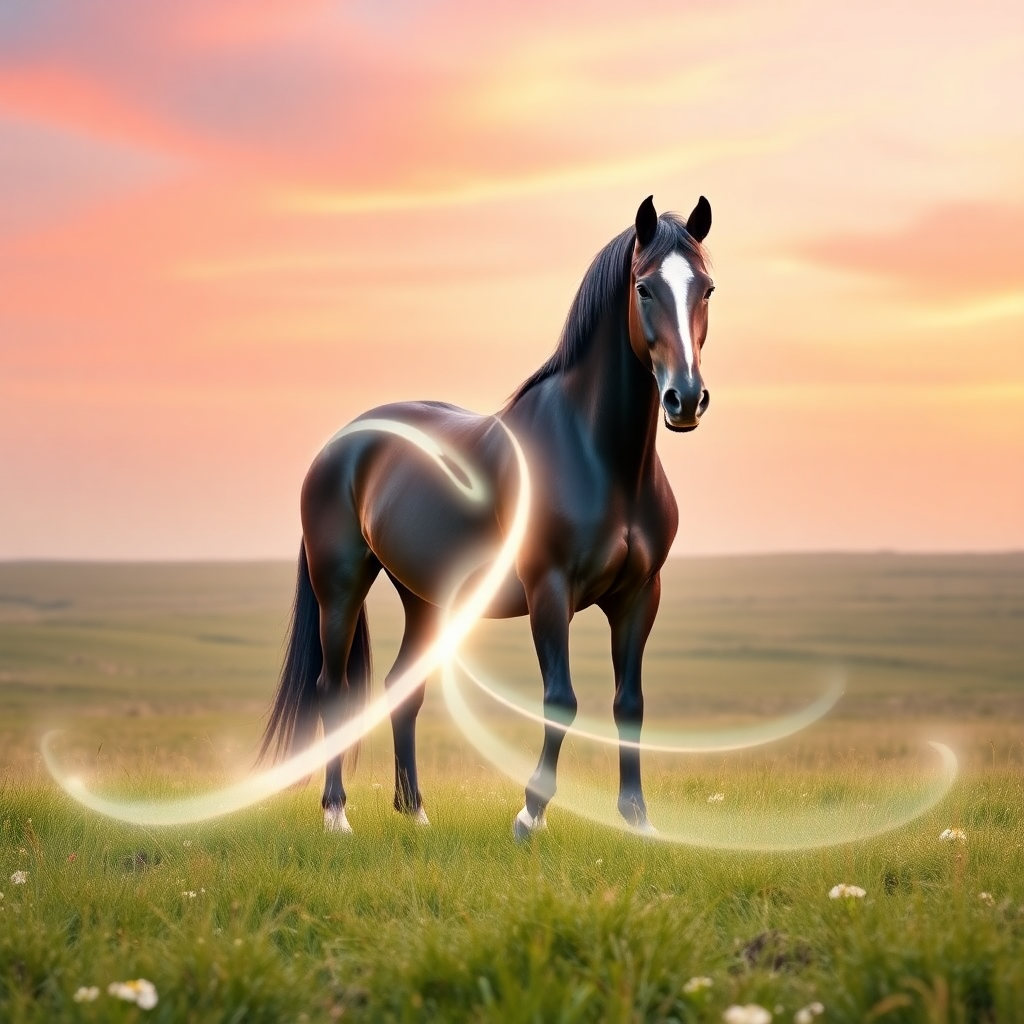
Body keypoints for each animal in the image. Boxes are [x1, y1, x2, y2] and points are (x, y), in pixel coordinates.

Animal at [259, 194, 715, 838]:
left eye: (707, 288)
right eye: (645, 288)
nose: (685, 399)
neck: (601, 458)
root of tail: (342, 443)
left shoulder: (639, 595)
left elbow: (630, 703)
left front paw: (637, 819)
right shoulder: (549, 588)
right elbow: (561, 699)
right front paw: (530, 814)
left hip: (421, 597)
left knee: (403, 689)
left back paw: (416, 812)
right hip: (340, 586)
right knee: (332, 689)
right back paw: (337, 815)